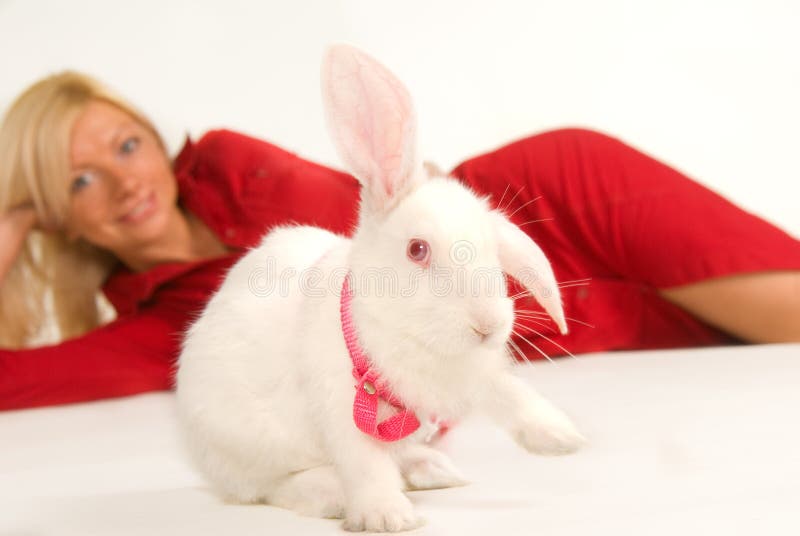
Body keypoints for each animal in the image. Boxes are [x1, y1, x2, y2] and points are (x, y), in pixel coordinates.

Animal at [175, 43, 586, 533]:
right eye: (417, 250)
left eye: (492, 250)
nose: (487, 326)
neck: (406, 335)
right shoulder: (344, 410)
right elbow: (366, 465)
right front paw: (388, 517)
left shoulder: (474, 376)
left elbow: (511, 394)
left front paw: (562, 437)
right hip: (248, 451)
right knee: (275, 486)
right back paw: (333, 492)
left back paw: (433, 469)